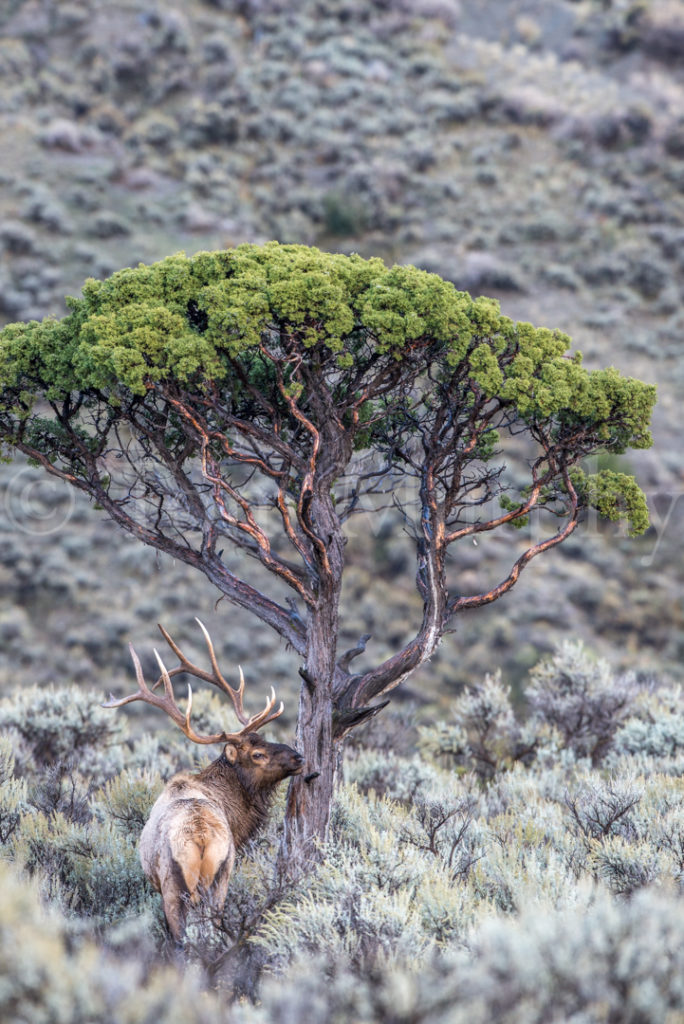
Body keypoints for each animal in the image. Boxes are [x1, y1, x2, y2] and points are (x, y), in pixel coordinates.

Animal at [103, 618, 304, 942]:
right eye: (258, 753)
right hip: (211, 881)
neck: (235, 817)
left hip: (185, 887)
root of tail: (201, 839)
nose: (299, 757)